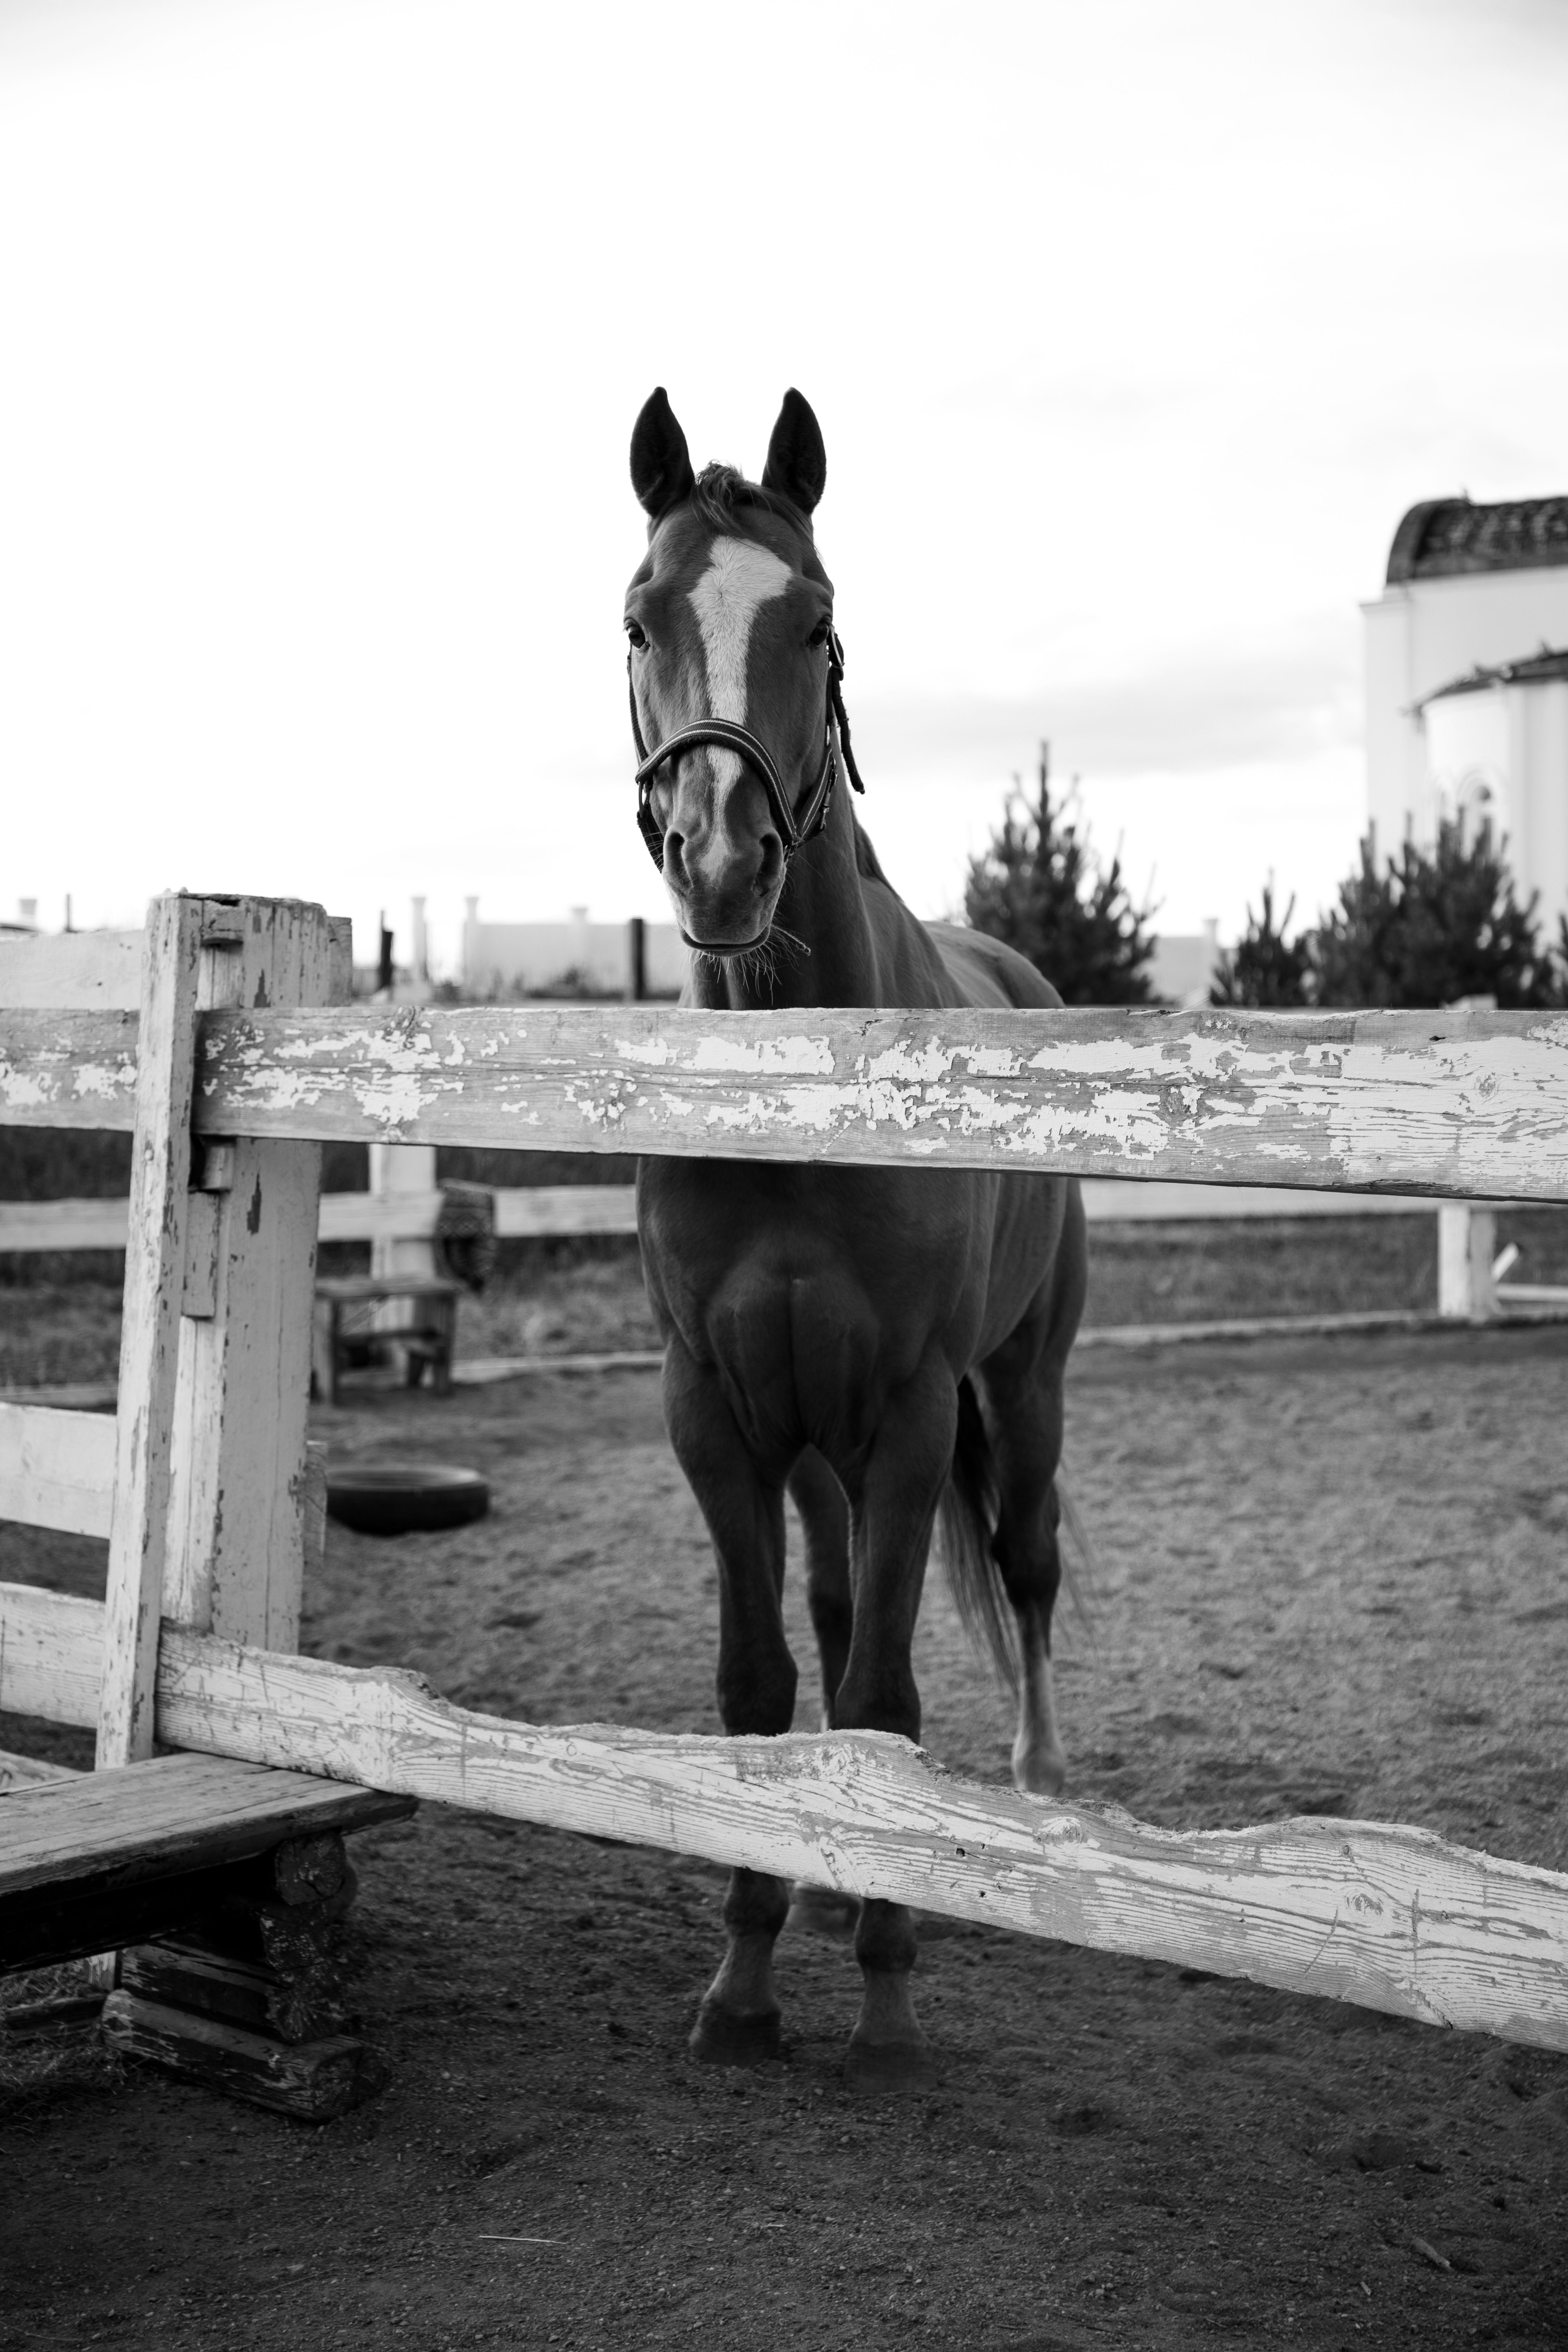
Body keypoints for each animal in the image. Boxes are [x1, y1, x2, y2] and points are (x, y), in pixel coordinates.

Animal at [625, 387, 1087, 2091]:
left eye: (815, 622)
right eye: (640, 617)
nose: (719, 861)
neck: (799, 1088)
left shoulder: (907, 1412)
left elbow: (887, 1689)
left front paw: (885, 1990)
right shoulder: (715, 1410)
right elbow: (764, 1680)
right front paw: (748, 1969)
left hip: (1019, 1385)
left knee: (1025, 1563)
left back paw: (1029, 1783)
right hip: (811, 1442)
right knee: (831, 1617)